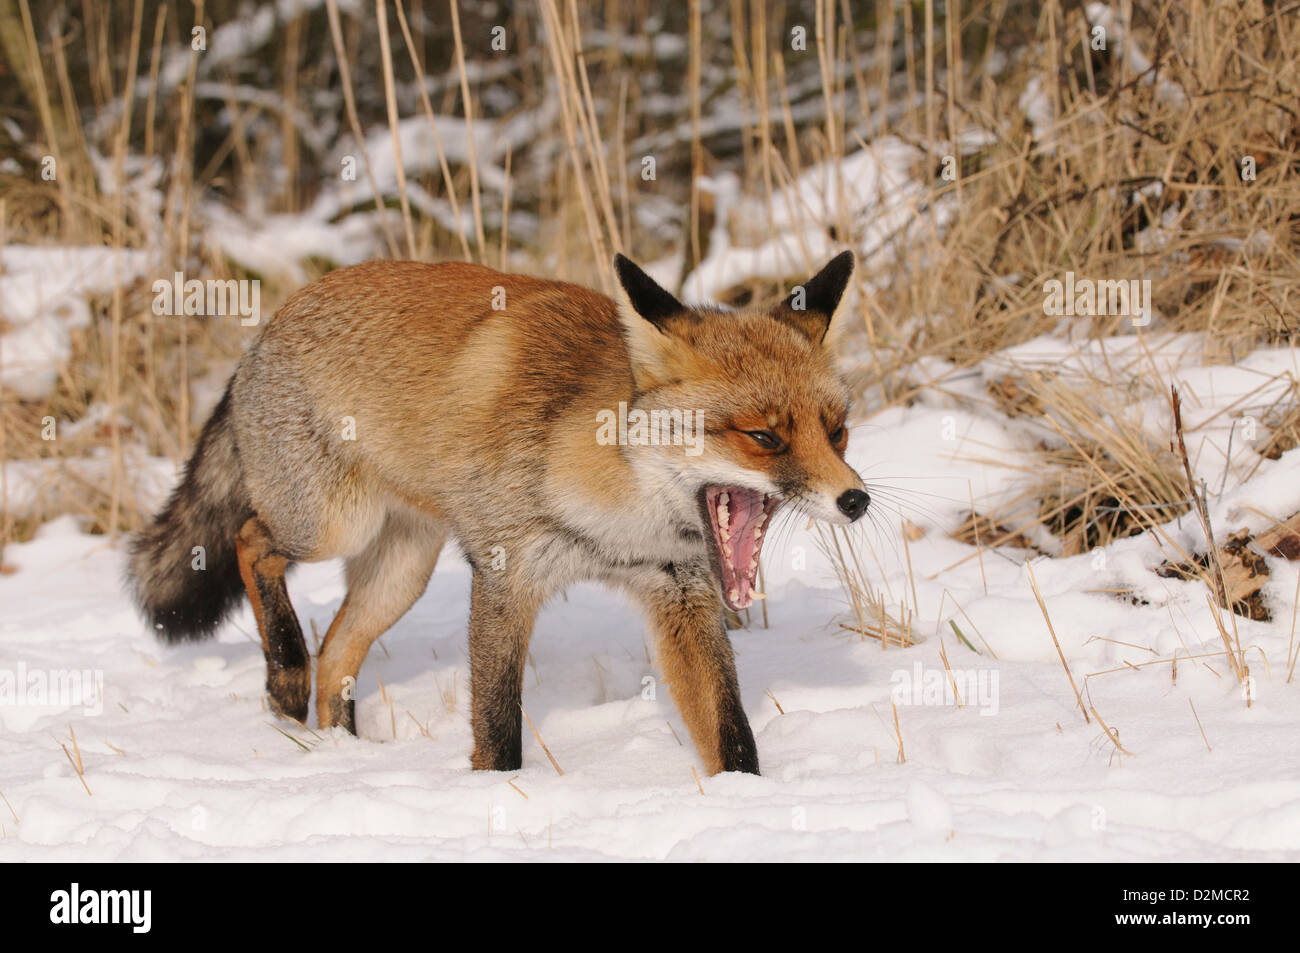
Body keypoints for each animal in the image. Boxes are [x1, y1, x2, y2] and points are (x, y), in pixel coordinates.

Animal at [128, 250, 869, 776]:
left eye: (837, 433)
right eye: (764, 437)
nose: (857, 500)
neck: (616, 517)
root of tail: (268, 326)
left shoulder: (678, 592)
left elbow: (730, 736)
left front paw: (744, 801)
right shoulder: (505, 575)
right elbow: (497, 724)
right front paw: (497, 796)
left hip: (402, 571)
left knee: (337, 647)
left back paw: (342, 755)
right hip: (332, 523)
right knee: (250, 540)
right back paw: (285, 675)